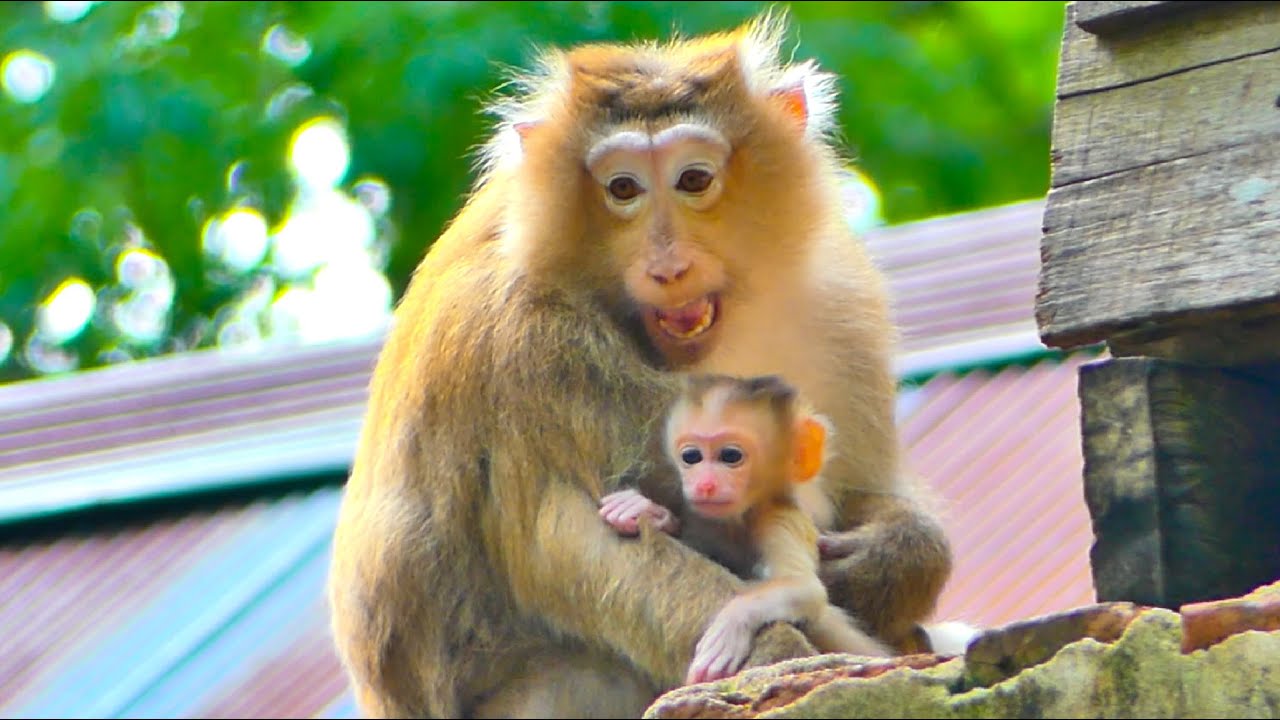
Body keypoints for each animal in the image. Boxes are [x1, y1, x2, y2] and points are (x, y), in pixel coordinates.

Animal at [600, 373, 892, 685]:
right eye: (691, 456)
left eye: (730, 456)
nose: (705, 484)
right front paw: (647, 510)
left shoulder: (779, 519)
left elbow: (803, 588)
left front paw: (731, 625)